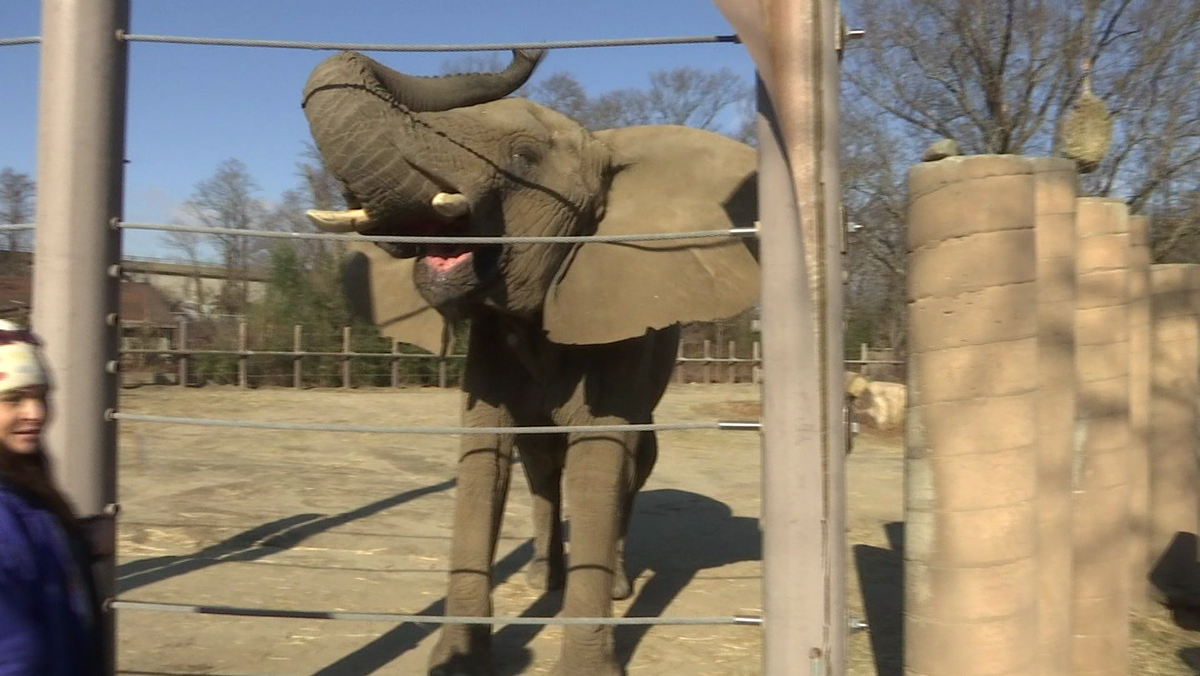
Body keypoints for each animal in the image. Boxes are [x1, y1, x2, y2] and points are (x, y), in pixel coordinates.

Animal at [298, 48, 760, 676]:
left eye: (524, 157)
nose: (528, 50)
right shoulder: (491, 341)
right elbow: (482, 455)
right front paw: (458, 665)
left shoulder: (613, 319)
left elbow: (599, 458)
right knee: (540, 461)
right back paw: (545, 581)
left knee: (634, 461)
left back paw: (617, 586)